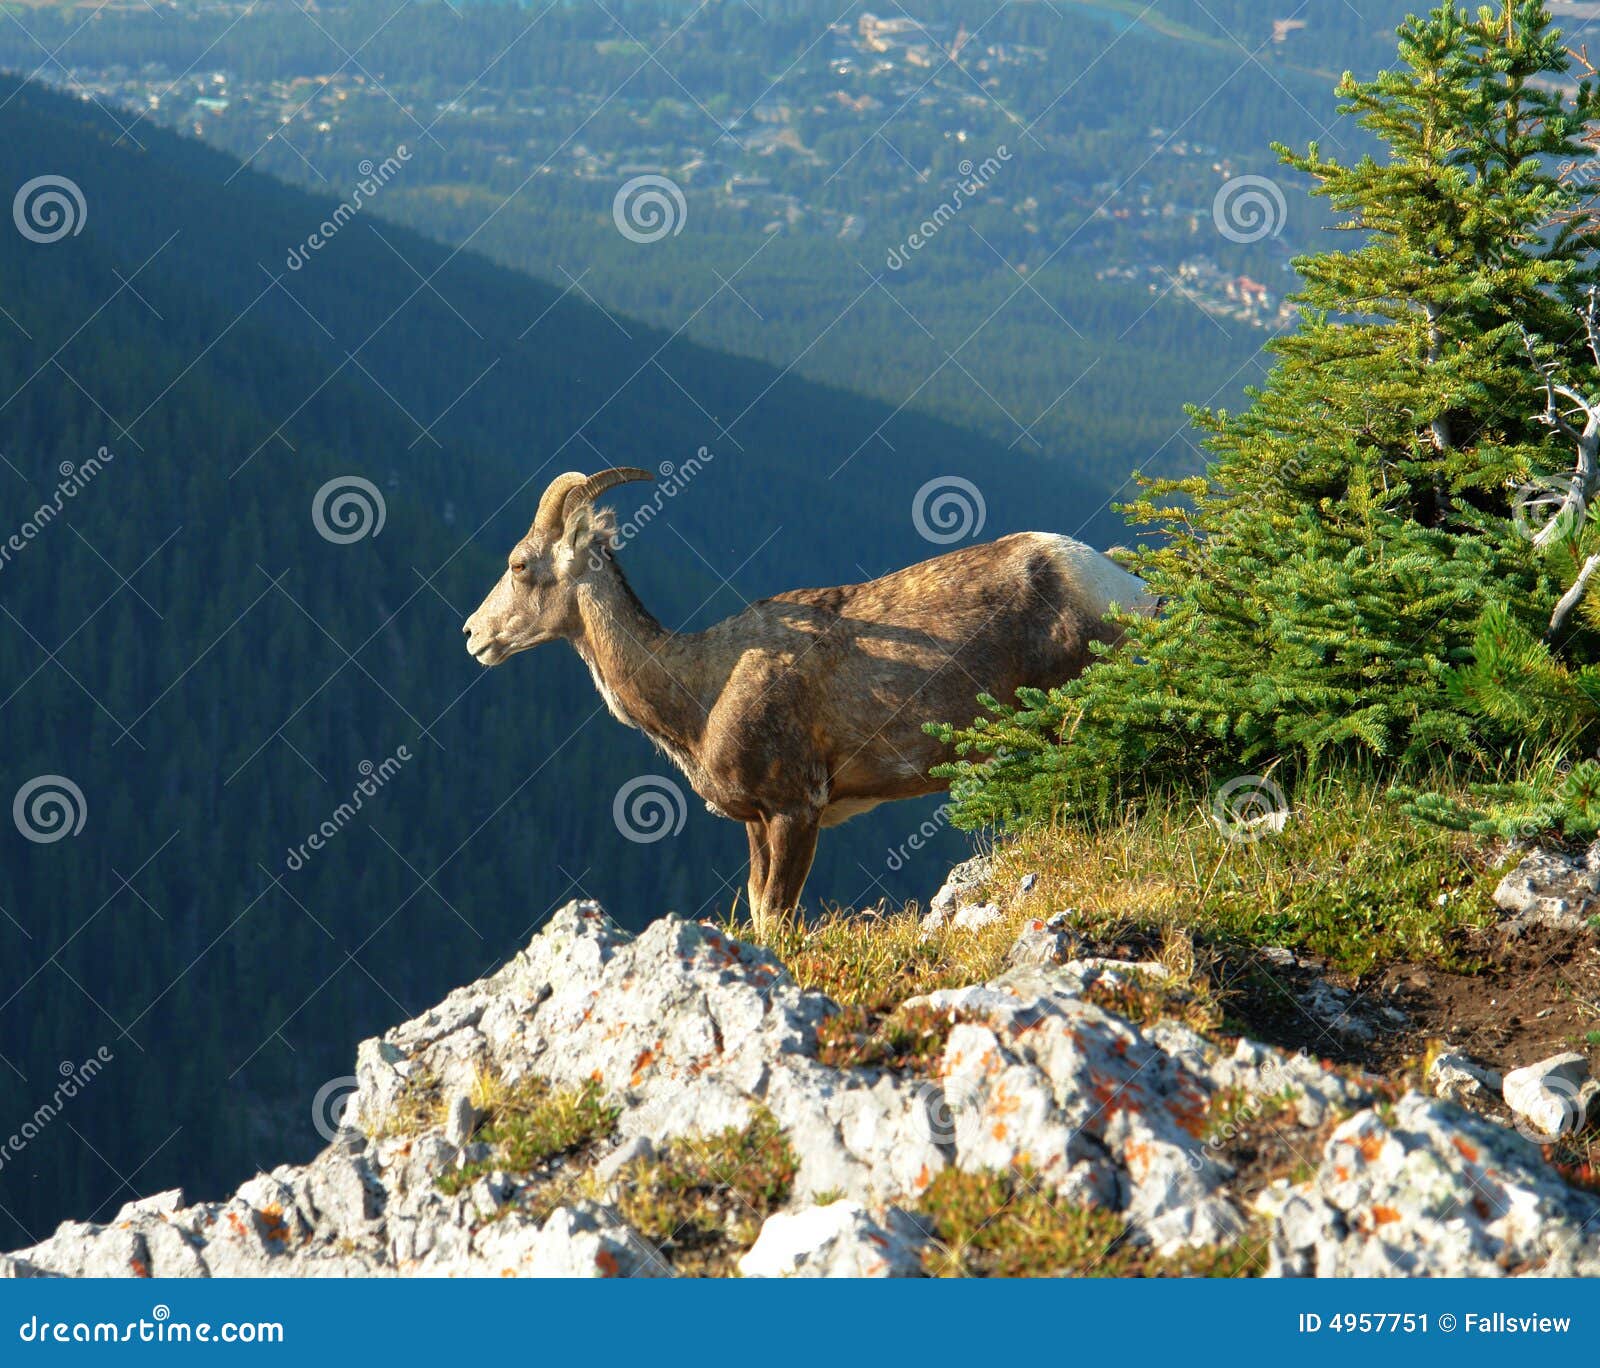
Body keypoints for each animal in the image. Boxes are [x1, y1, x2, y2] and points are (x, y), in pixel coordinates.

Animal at [463, 468, 1149, 930]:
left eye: (520, 564)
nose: (472, 635)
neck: (705, 690)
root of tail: (1125, 587)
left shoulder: (797, 807)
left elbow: (776, 920)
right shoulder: (757, 822)